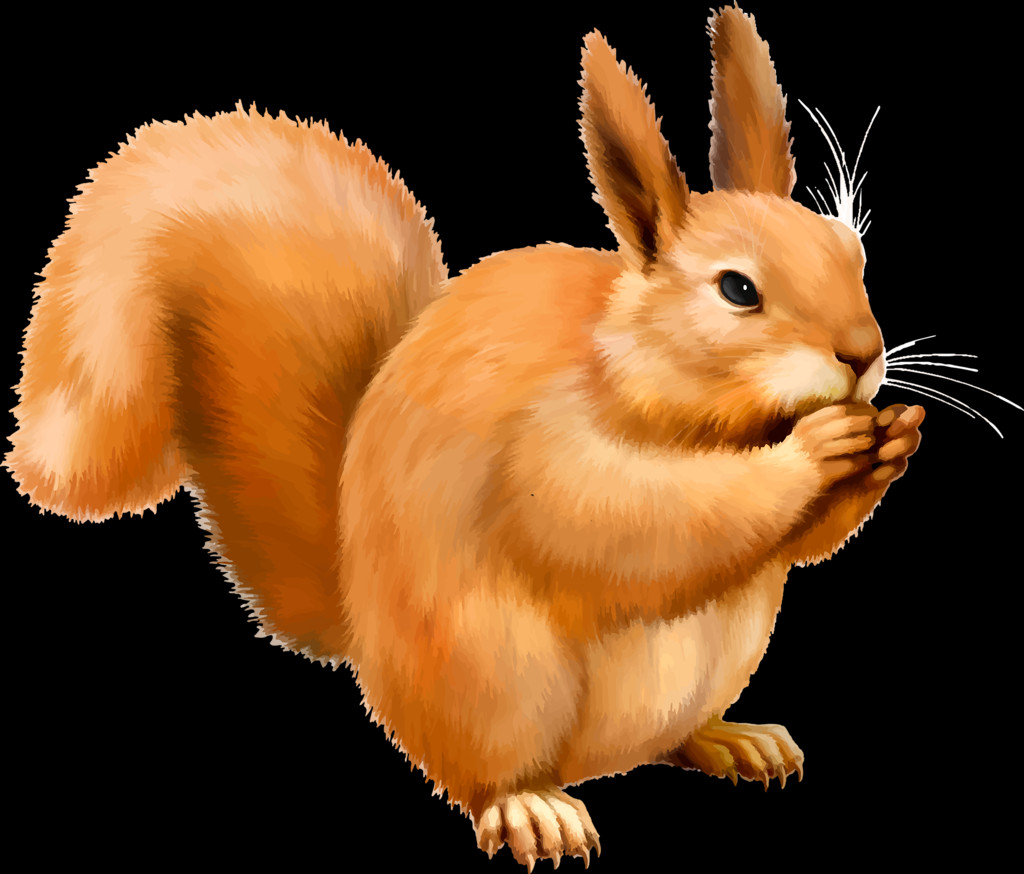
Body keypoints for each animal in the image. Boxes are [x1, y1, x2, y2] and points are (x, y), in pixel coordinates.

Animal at [6, 6, 926, 870]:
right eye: (737, 289)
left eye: (852, 255)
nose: (862, 355)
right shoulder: (545, 450)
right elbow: (633, 518)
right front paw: (817, 452)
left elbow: (792, 547)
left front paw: (894, 443)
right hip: (494, 681)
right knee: (481, 774)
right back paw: (532, 809)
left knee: (671, 738)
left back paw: (734, 738)